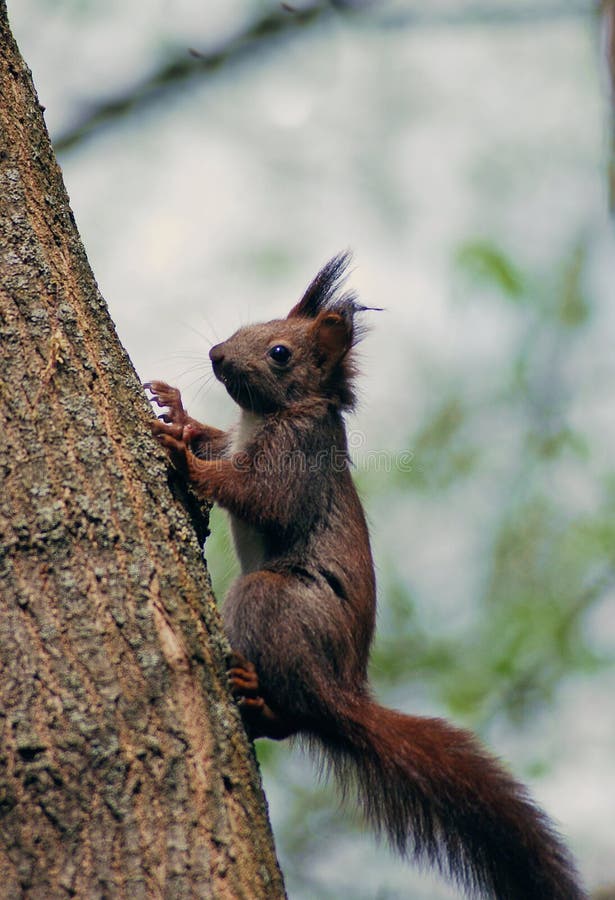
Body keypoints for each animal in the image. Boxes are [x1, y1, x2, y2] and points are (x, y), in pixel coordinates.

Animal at [146, 253, 586, 900]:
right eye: (250, 325)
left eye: (280, 352)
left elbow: (257, 496)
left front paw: (183, 455)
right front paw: (179, 414)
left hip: (273, 601)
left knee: (296, 714)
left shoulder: (296, 456)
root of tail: (344, 692)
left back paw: (261, 693)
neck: (272, 413)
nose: (216, 354)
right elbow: (219, 441)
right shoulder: (241, 437)